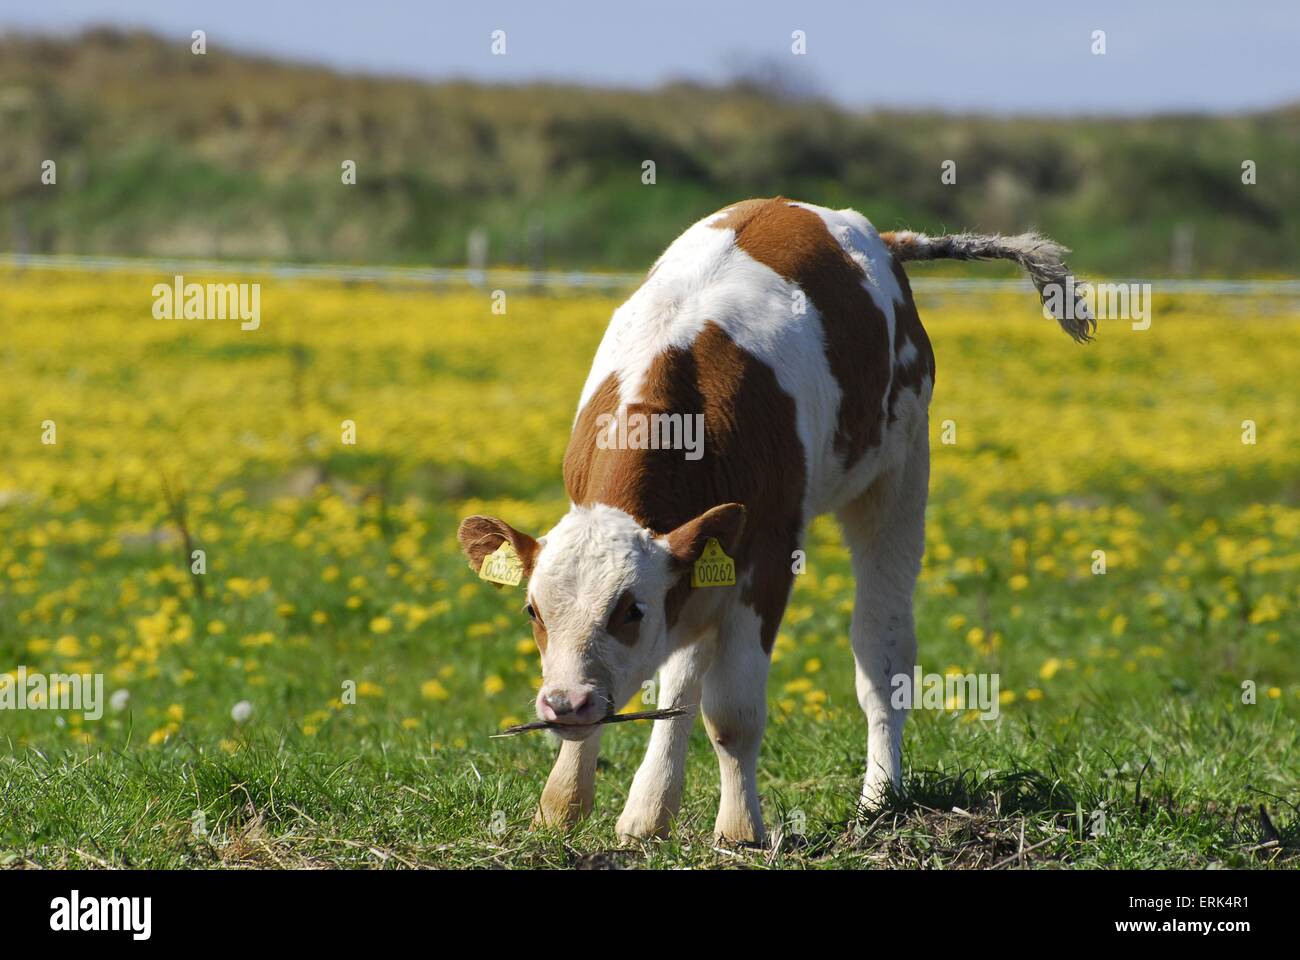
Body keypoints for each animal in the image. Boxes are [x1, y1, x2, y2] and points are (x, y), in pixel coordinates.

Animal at [458, 197, 1093, 844]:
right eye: (532, 611)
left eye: (630, 610)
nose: (565, 704)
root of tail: (873, 232)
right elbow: (650, 697)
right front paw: (562, 807)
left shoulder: (767, 553)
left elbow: (733, 713)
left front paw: (740, 830)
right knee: (685, 672)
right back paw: (649, 811)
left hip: (899, 475)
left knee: (881, 651)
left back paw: (880, 800)